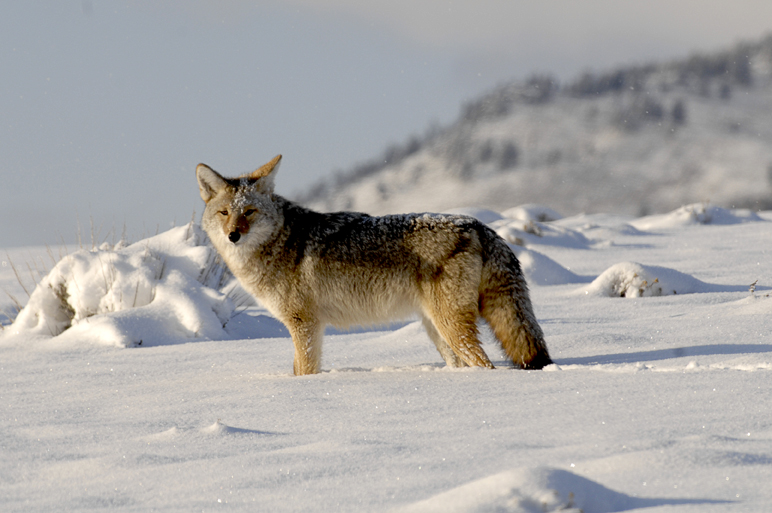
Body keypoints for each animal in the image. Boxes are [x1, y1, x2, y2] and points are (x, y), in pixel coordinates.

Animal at [196, 155, 552, 375]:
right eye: (225, 213)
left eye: (249, 212)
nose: (233, 236)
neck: (280, 244)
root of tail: (477, 225)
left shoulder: (305, 325)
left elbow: (305, 371)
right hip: (436, 329)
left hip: (450, 325)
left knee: (484, 363)